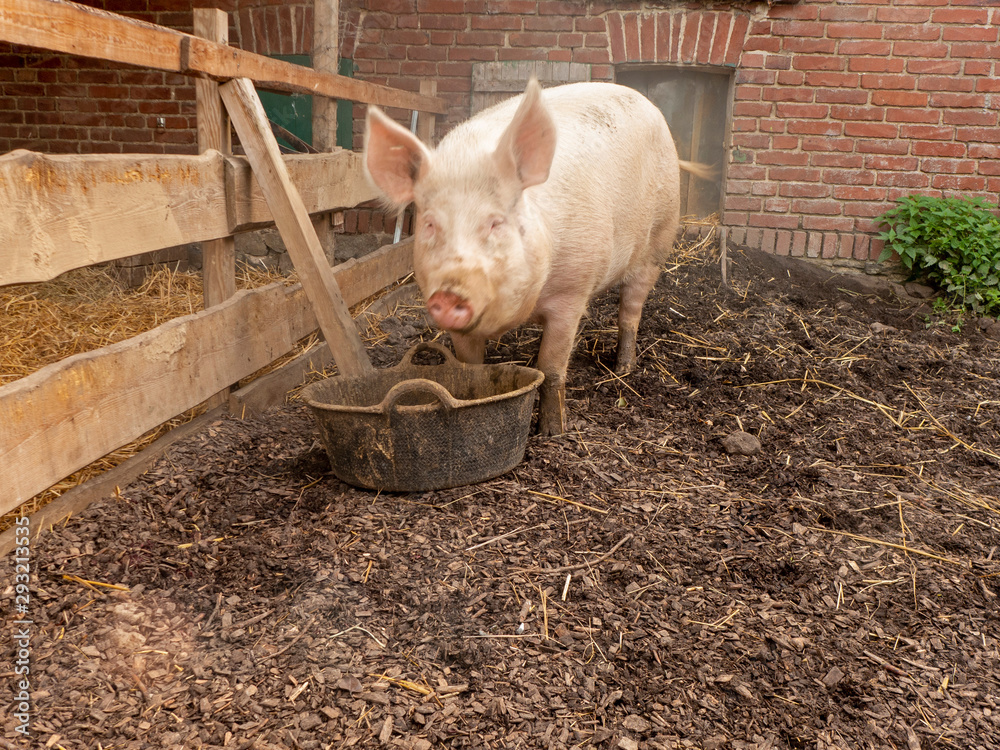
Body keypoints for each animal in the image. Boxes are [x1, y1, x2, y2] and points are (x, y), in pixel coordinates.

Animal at [365, 79, 705, 435]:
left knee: (631, 310)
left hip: (659, 240)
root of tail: (646, 102)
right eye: (430, 224)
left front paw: (552, 432)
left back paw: (623, 368)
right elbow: (470, 366)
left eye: (495, 222)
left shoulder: (571, 293)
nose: (448, 293)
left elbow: (551, 369)